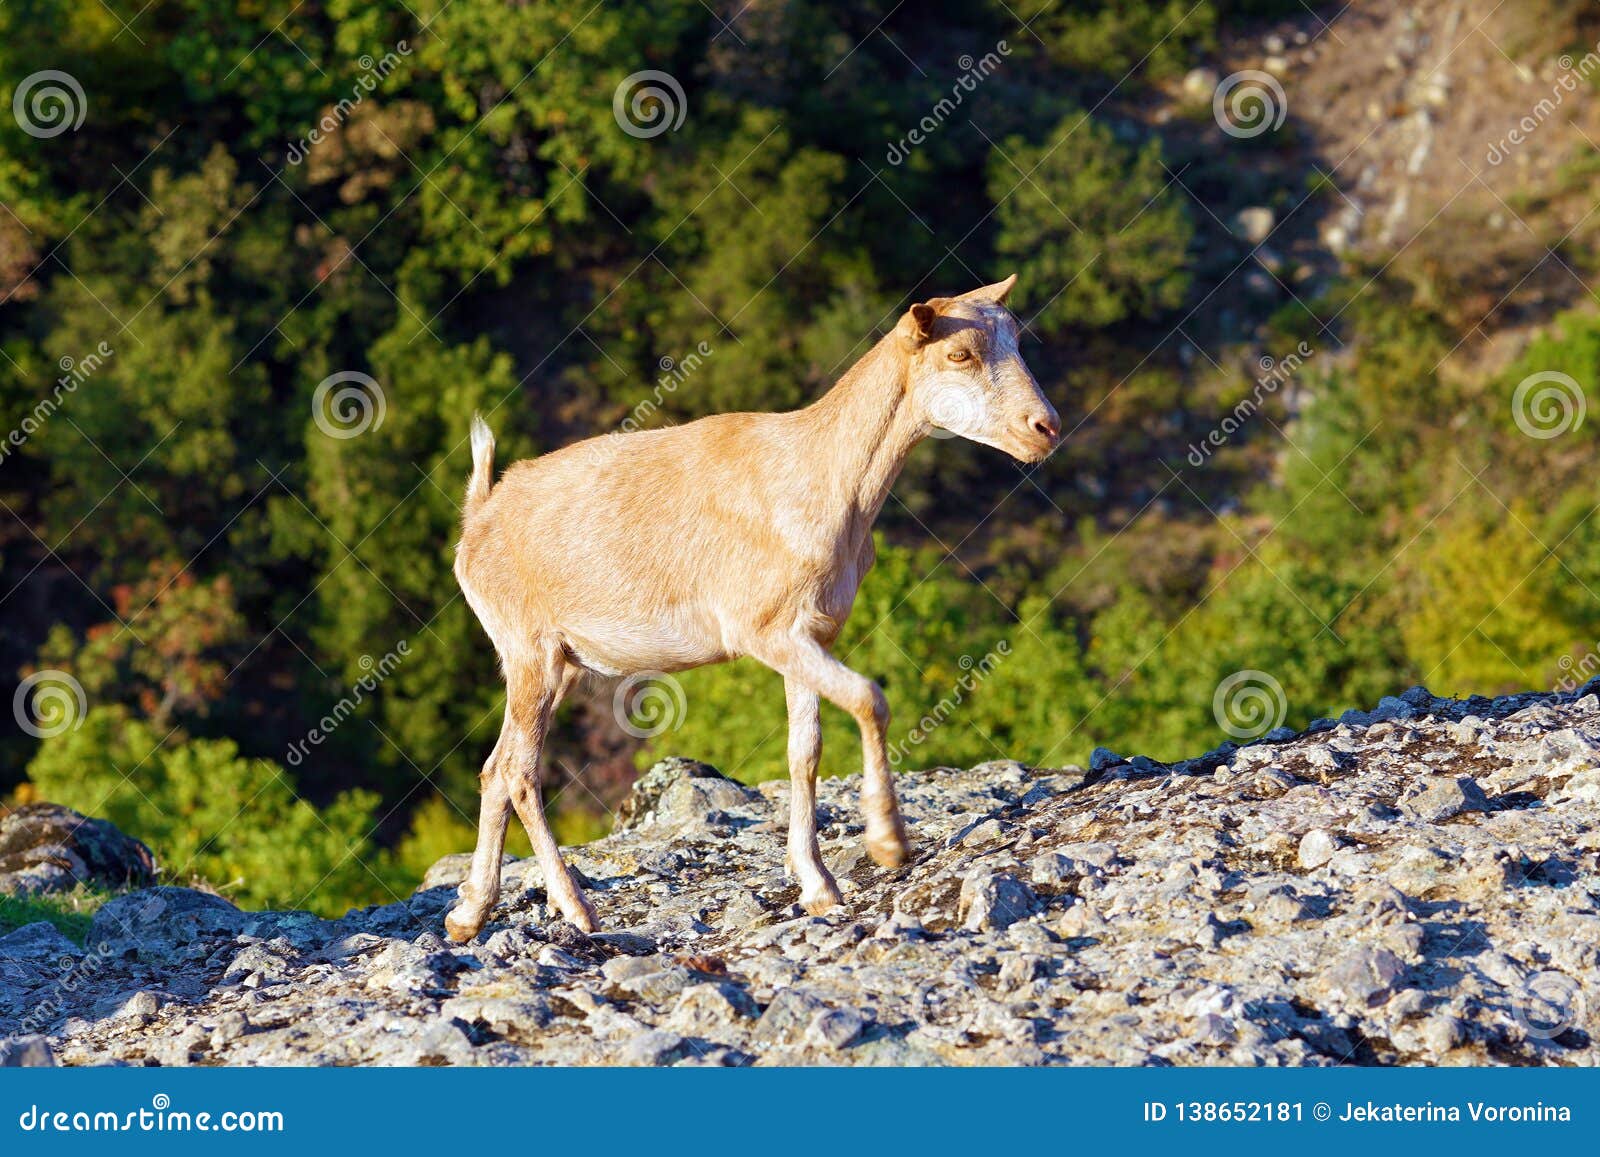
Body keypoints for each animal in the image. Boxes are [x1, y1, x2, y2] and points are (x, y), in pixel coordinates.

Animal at [445, 275, 1059, 941]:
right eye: (960, 354)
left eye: (1017, 339)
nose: (1045, 427)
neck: (824, 478)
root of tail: (479, 515)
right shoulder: (766, 631)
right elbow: (869, 699)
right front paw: (888, 844)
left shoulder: (812, 635)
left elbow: (804, 750)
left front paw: (818, 886)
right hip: (529, 655)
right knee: (520, 772)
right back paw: (577, 908)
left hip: (557, 666)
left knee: (495, 767)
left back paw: (469, 914)